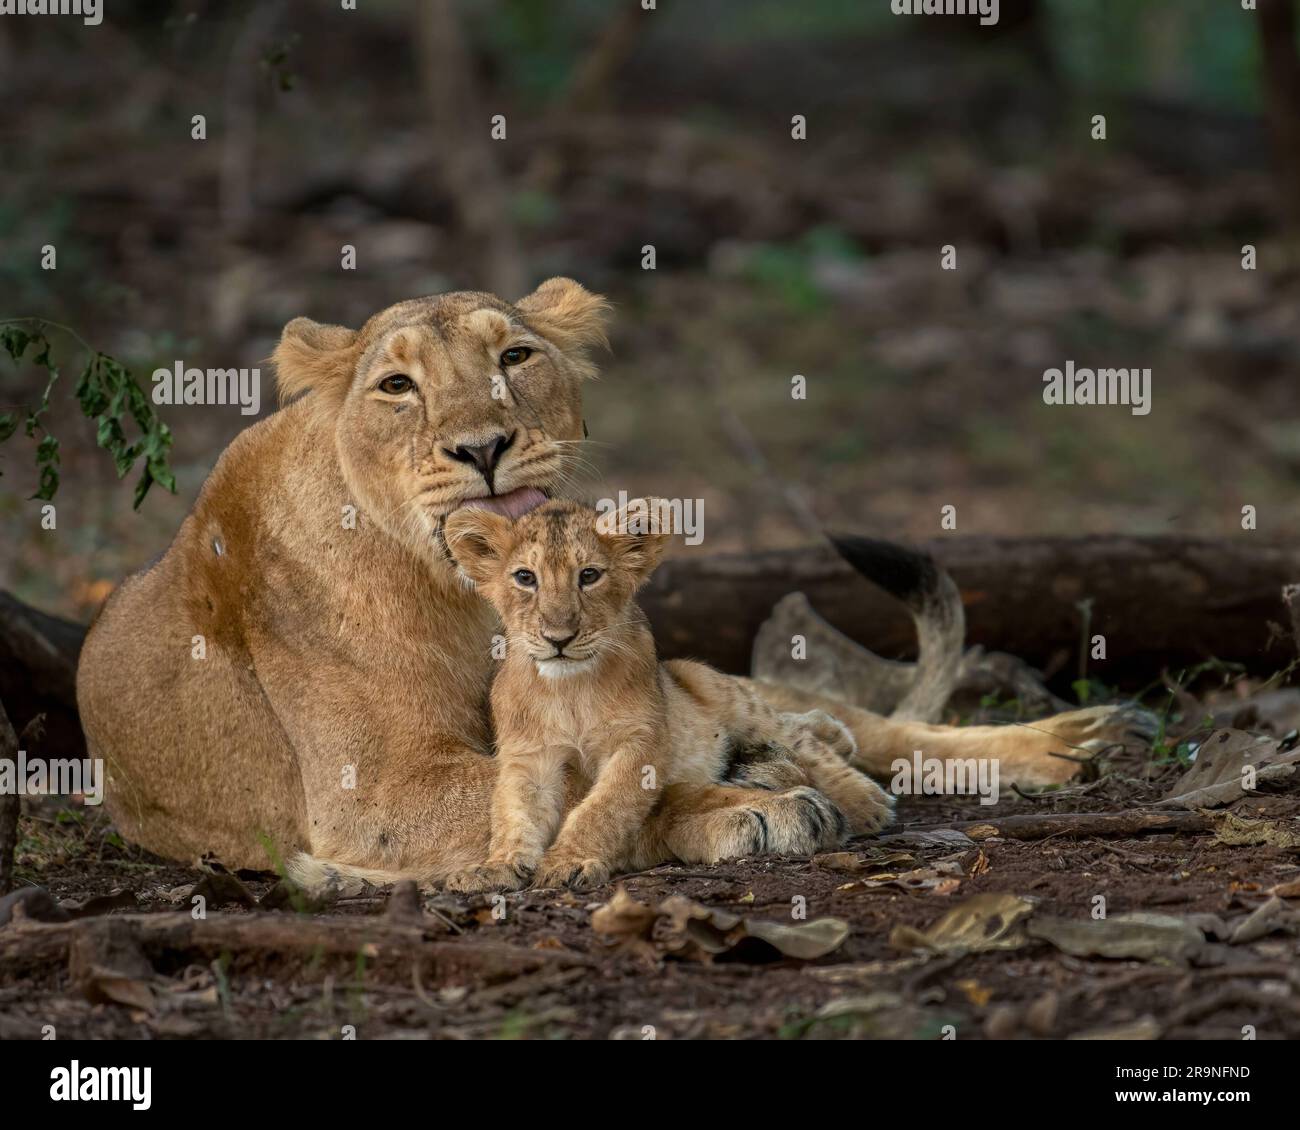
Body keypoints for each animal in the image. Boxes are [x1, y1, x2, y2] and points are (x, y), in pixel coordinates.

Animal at [75, 278, 1153, 888]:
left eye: (516, 355)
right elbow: (583, 792)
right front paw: (742, 806)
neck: (470, 599)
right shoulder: (366, 794)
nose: (483, 445)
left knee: (870, 723)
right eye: (396, 386)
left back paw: (1073, 741)